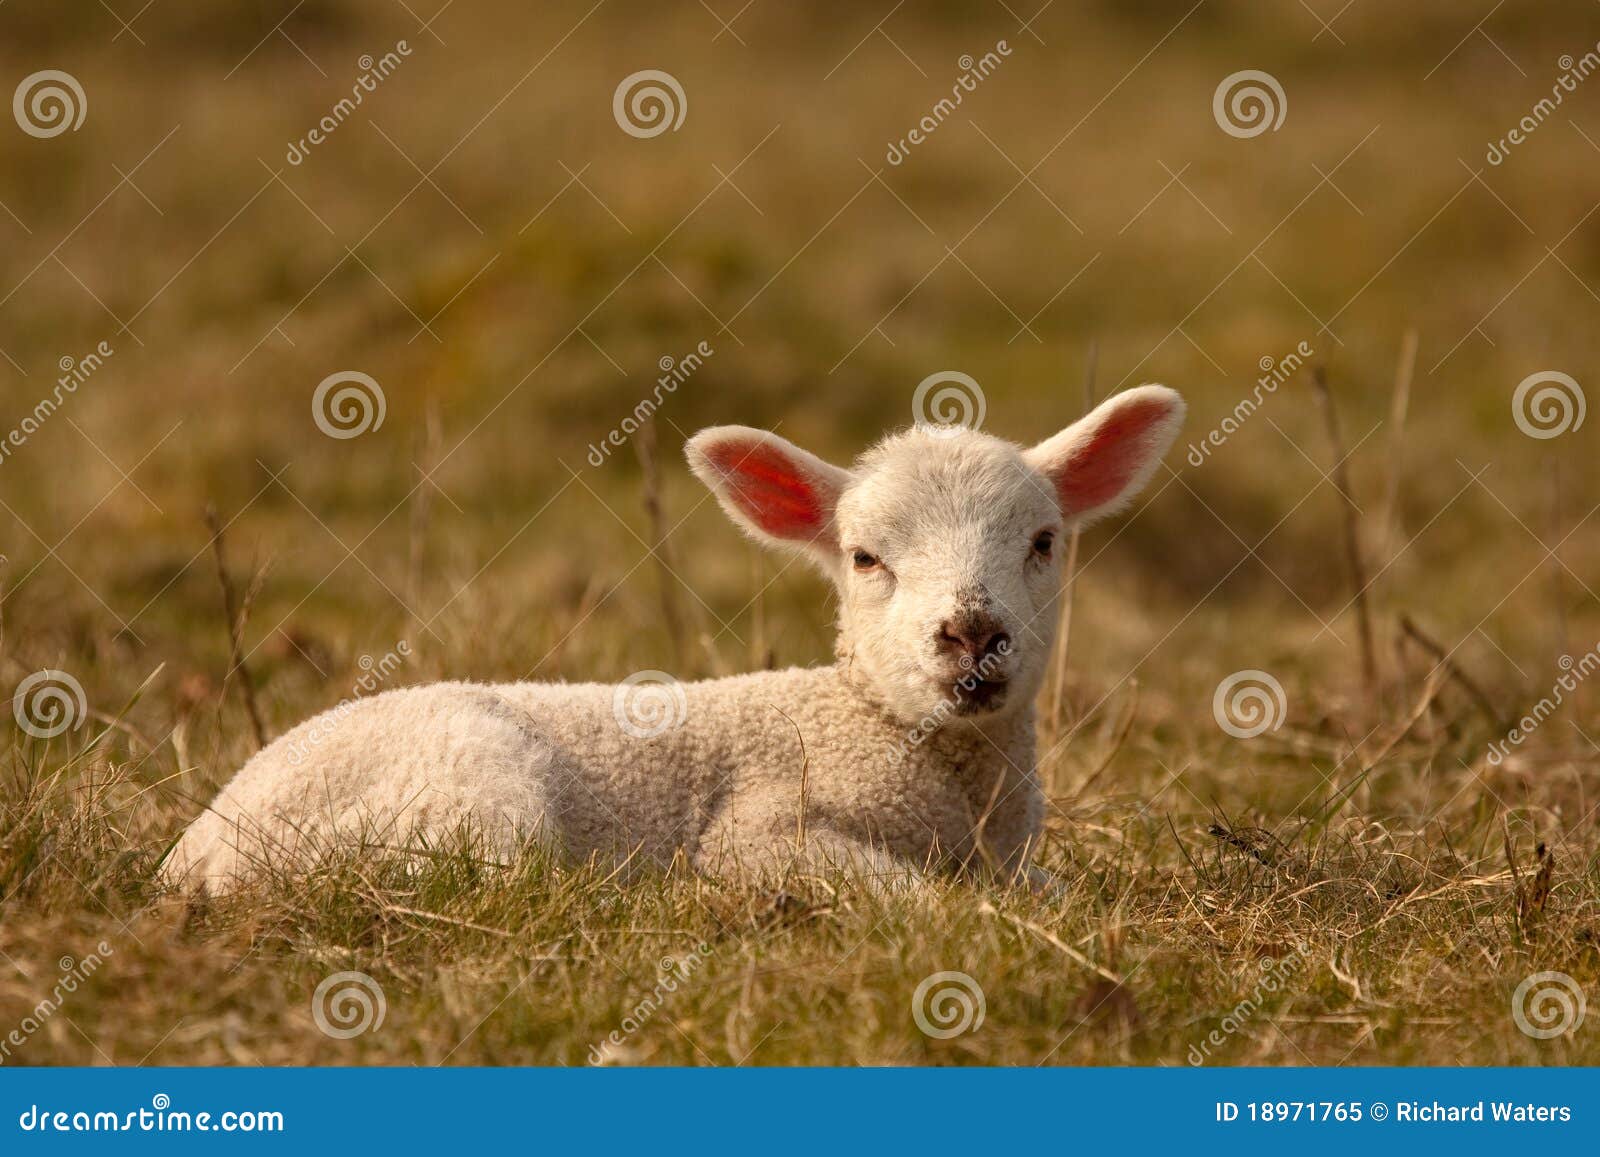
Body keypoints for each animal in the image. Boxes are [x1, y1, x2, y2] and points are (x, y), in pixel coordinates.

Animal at [167, 385, 1185, 890]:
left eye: (1043, 541)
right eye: (864, 557)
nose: (973, 633)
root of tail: (203, 844)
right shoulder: (760, 828)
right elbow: (918, 898)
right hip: (468, 797)